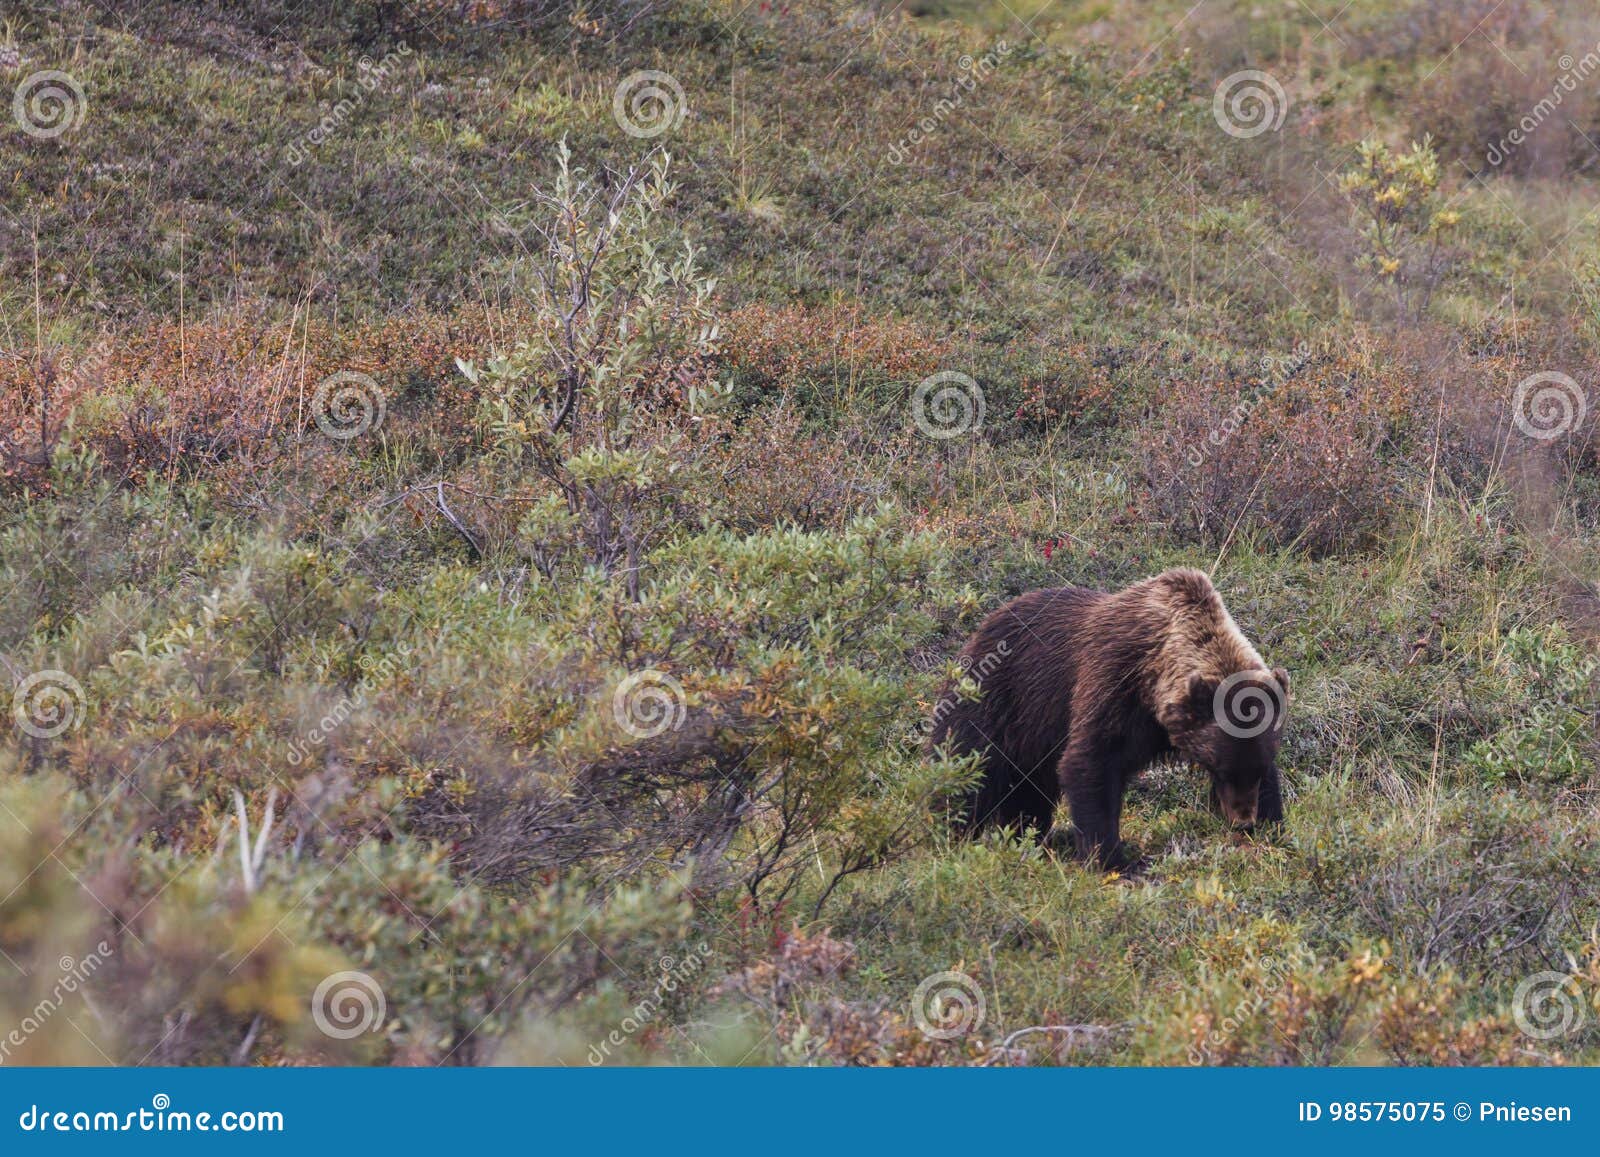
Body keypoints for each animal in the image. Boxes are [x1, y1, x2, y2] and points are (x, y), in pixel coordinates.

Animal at [929, 568, 1287, 869]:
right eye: (1222, 768)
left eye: (1254, 771)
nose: (1244, 821)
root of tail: (982, 624)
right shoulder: (1113, 684)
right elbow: (1091, 762)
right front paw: (1113, 860)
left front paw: (1271, 827)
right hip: (996, 700)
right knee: (969, 769)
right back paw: (950, 832)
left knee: (1028, 793)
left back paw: (1025, 836)